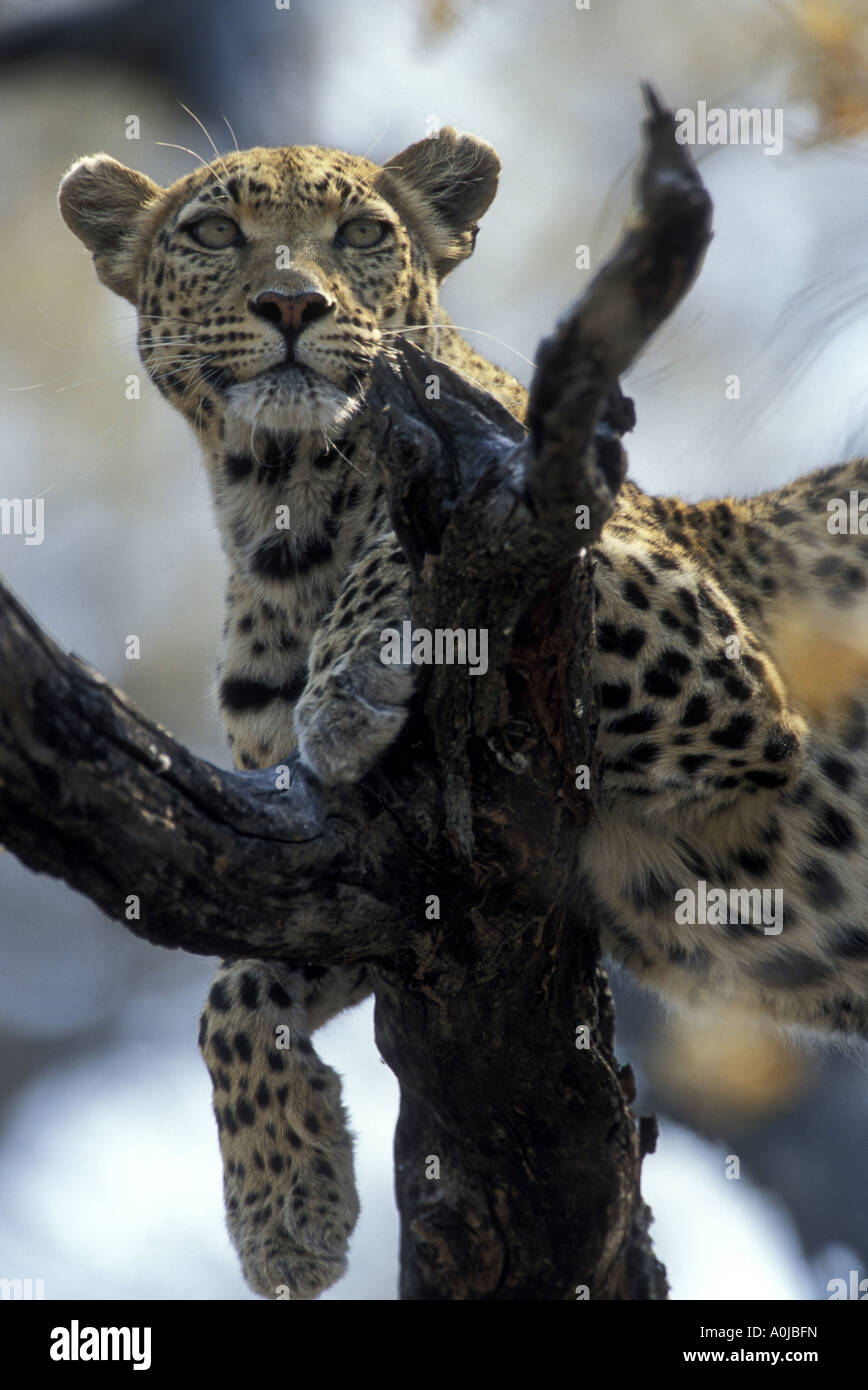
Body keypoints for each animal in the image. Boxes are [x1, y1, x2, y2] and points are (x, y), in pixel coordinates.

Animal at [58, 125, 868, 1300]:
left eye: (360, 232)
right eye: (212, 232)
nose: (293, 303)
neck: (283, 520)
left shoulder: (700, 647)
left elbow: (437, 550)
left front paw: (351, 676)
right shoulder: (346, 864)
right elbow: (229, 994)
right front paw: (284, 1208)